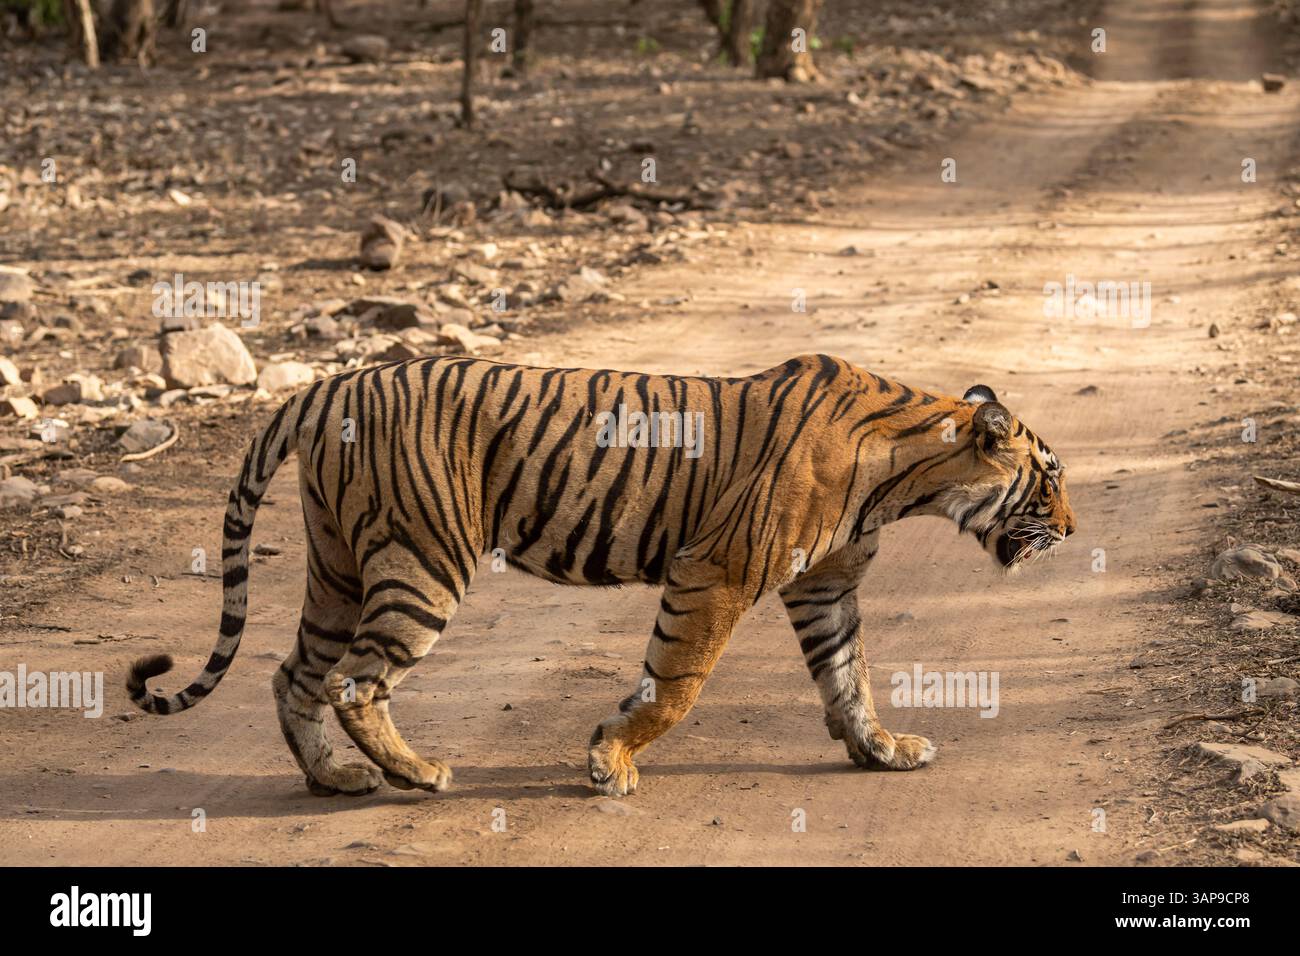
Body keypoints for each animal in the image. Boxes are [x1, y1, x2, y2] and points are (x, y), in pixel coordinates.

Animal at [127, 353, 1076, 798]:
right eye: (1050, 478)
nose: (1071, 530)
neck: (911, 477)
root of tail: (326, 387)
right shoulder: (717, 568)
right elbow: (677, 683)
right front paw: (609, 762)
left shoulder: (825, 587)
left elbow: (851, 678)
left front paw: (883, 750)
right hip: (421, 562)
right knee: (354, 682)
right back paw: (420, 775)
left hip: (336, 568)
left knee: (295, 675)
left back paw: (336, 778)